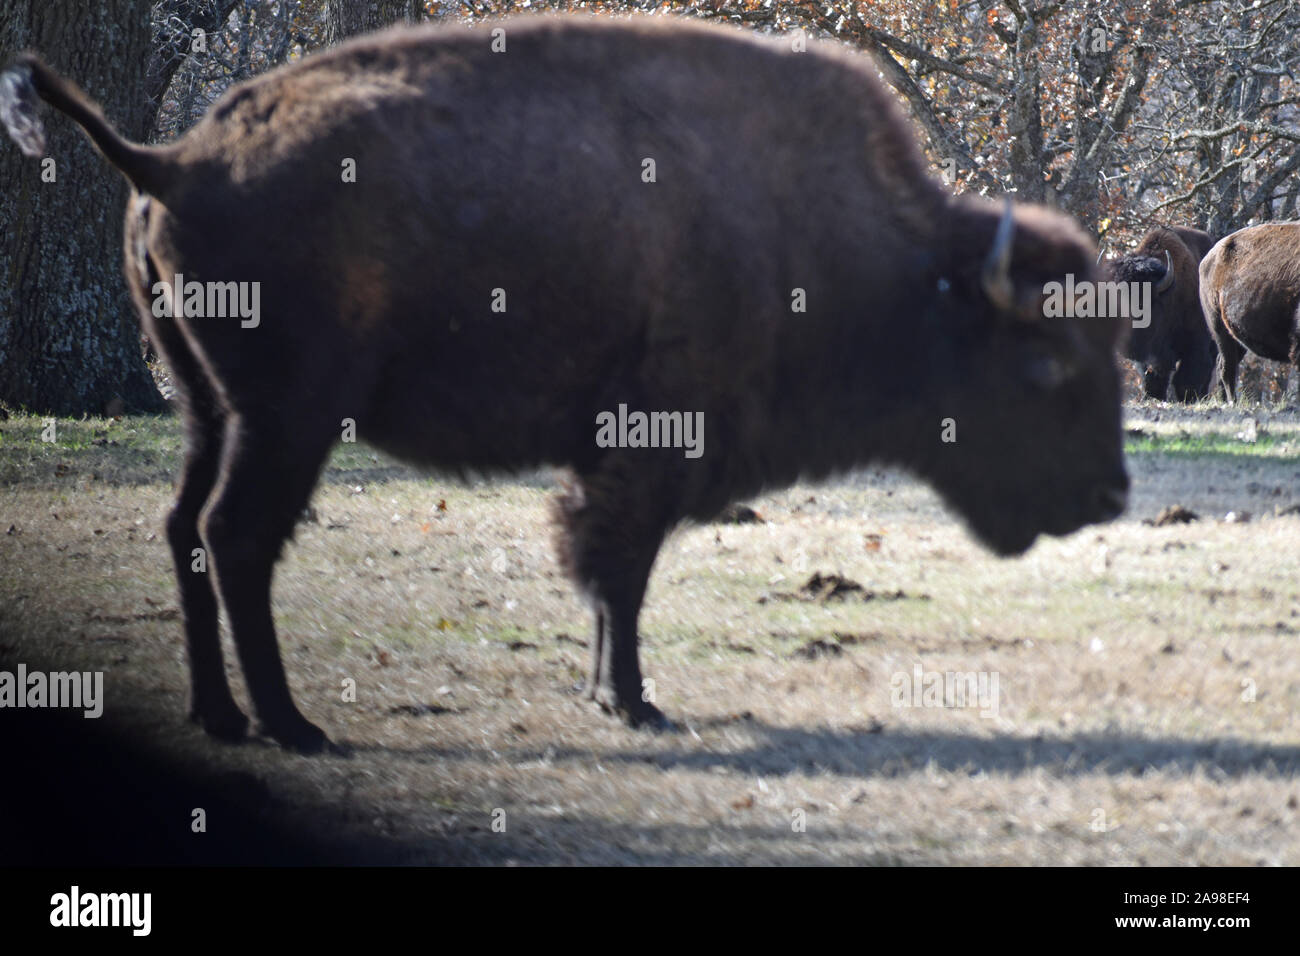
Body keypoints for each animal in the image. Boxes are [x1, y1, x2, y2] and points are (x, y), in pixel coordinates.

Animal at [1, 16, 1129, 750]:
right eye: (1049, 362)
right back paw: (292, 724)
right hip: (288, 419)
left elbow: (608, 576)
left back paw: (221, 716)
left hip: (206, 409)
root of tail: (175, 159)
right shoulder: (647, 451)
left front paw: (608, 693)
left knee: (184, 528)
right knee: (235, 536)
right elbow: (618, 571)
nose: (1110, 494)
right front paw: (632, 702)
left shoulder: (617, 456)